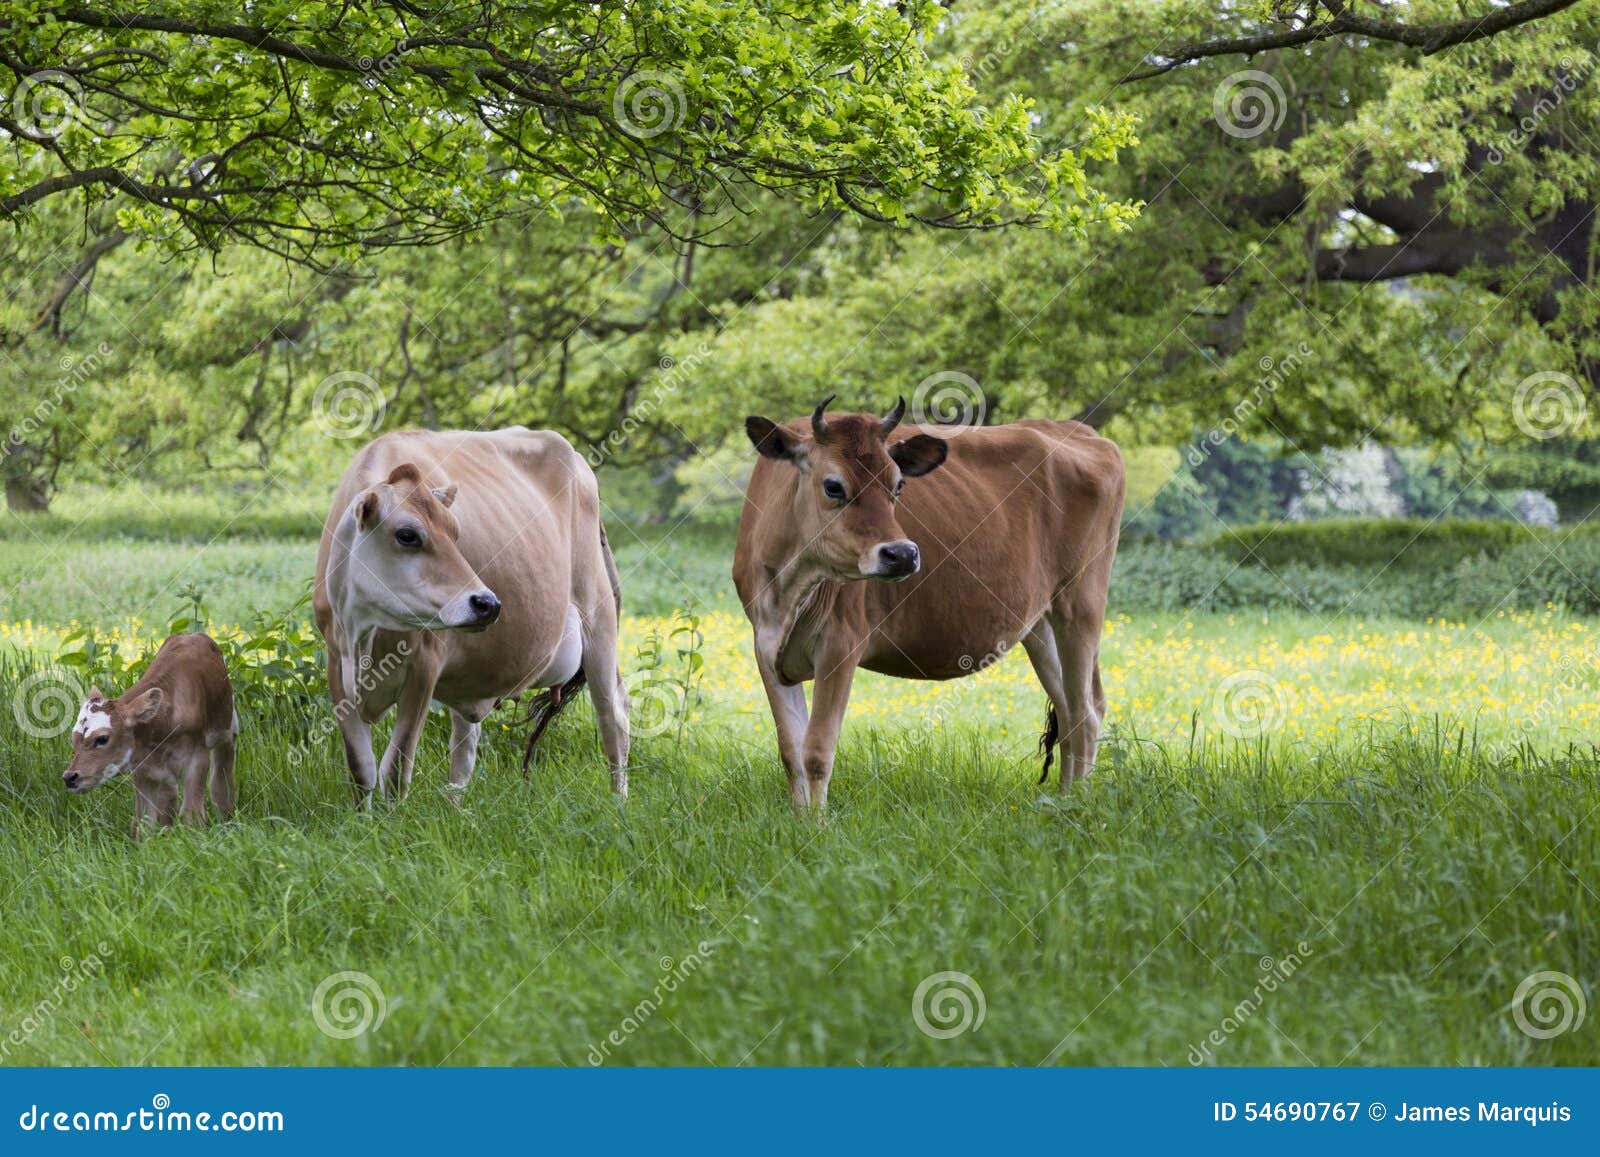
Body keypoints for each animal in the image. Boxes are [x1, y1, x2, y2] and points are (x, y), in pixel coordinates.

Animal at [61, 633, 238, 839]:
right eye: (73, 740)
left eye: (102, 739)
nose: (69, 777)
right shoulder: (142, 769)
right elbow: (144, 822)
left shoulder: (197, 759)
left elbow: (191, 814)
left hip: (228, 727)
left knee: (222, 774)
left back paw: (225, 813)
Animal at [313, 427, 629, 804]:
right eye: (407, 534)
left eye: (455, 532)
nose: (487, 603)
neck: (364, 630)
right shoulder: (336, 666)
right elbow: (361, 769)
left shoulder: (424, 664)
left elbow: (395, 769)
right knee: (464, 747)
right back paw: (454, 807)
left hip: (598, 616)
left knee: (613, 718)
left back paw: (619, 803)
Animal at [733, 397, 1123, 810]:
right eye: (833, 485)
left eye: (898, 484)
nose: (902, 554)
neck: (790, 588)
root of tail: (1078, 430)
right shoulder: (765, 646)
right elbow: (791, 752)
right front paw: (801, 819)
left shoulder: (841, 642)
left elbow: (817, 753)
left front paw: (819, 824)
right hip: (1041, 622)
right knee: (1067, 707)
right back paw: (1063, 798)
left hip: (1081, 604)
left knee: (1085, 713)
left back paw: (1078, 803)